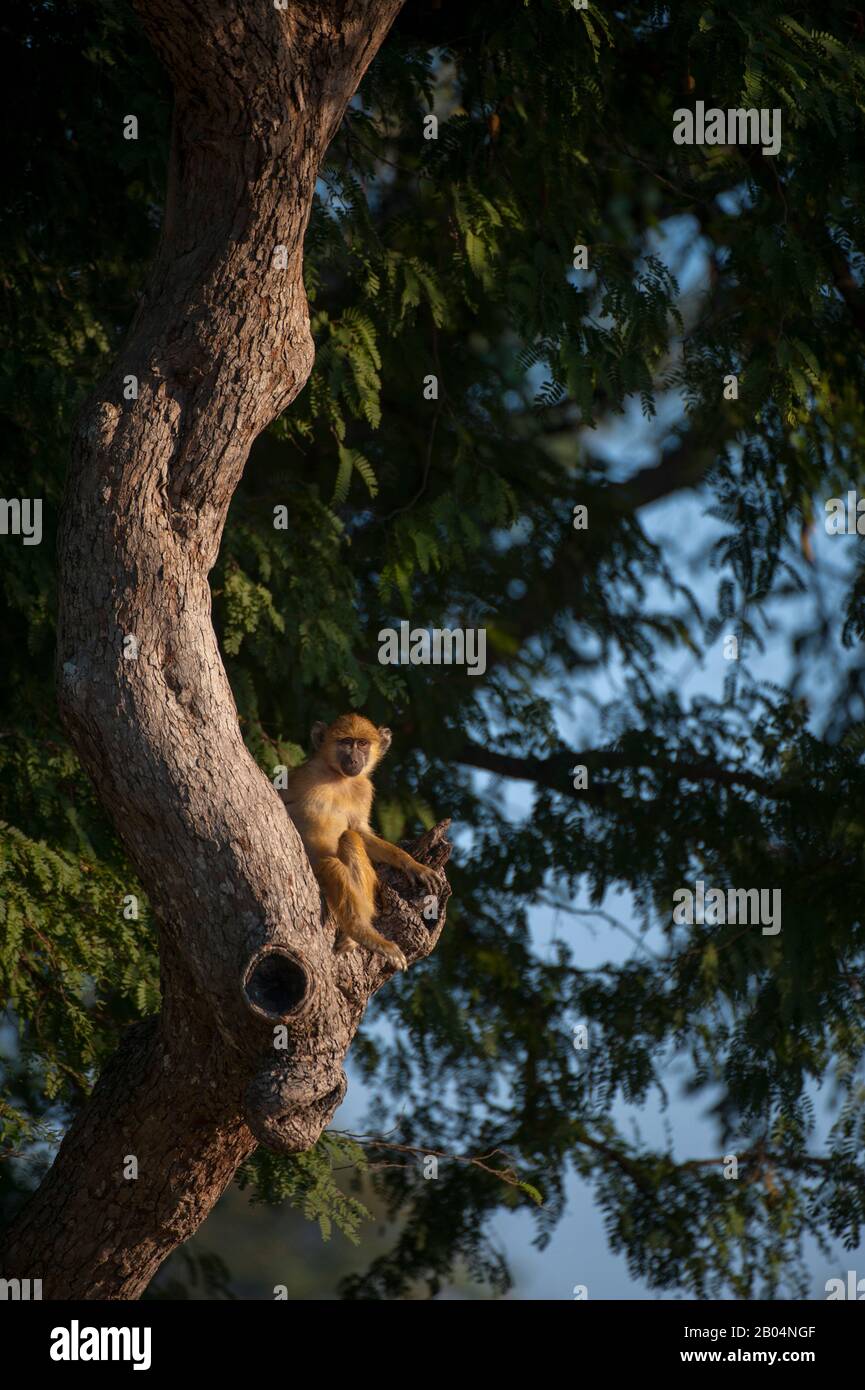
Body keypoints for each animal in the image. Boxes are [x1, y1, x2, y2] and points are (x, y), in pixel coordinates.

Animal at [279, 714, 440, 970]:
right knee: (331, 864)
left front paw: (413, 864)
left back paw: (357, 933)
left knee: (350, 839)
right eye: (346, 742)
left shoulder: (364, 788)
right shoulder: (303, 774)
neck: (338, 778)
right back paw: (360, 930)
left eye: (362, 743)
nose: (354, 759)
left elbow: (359, 831)